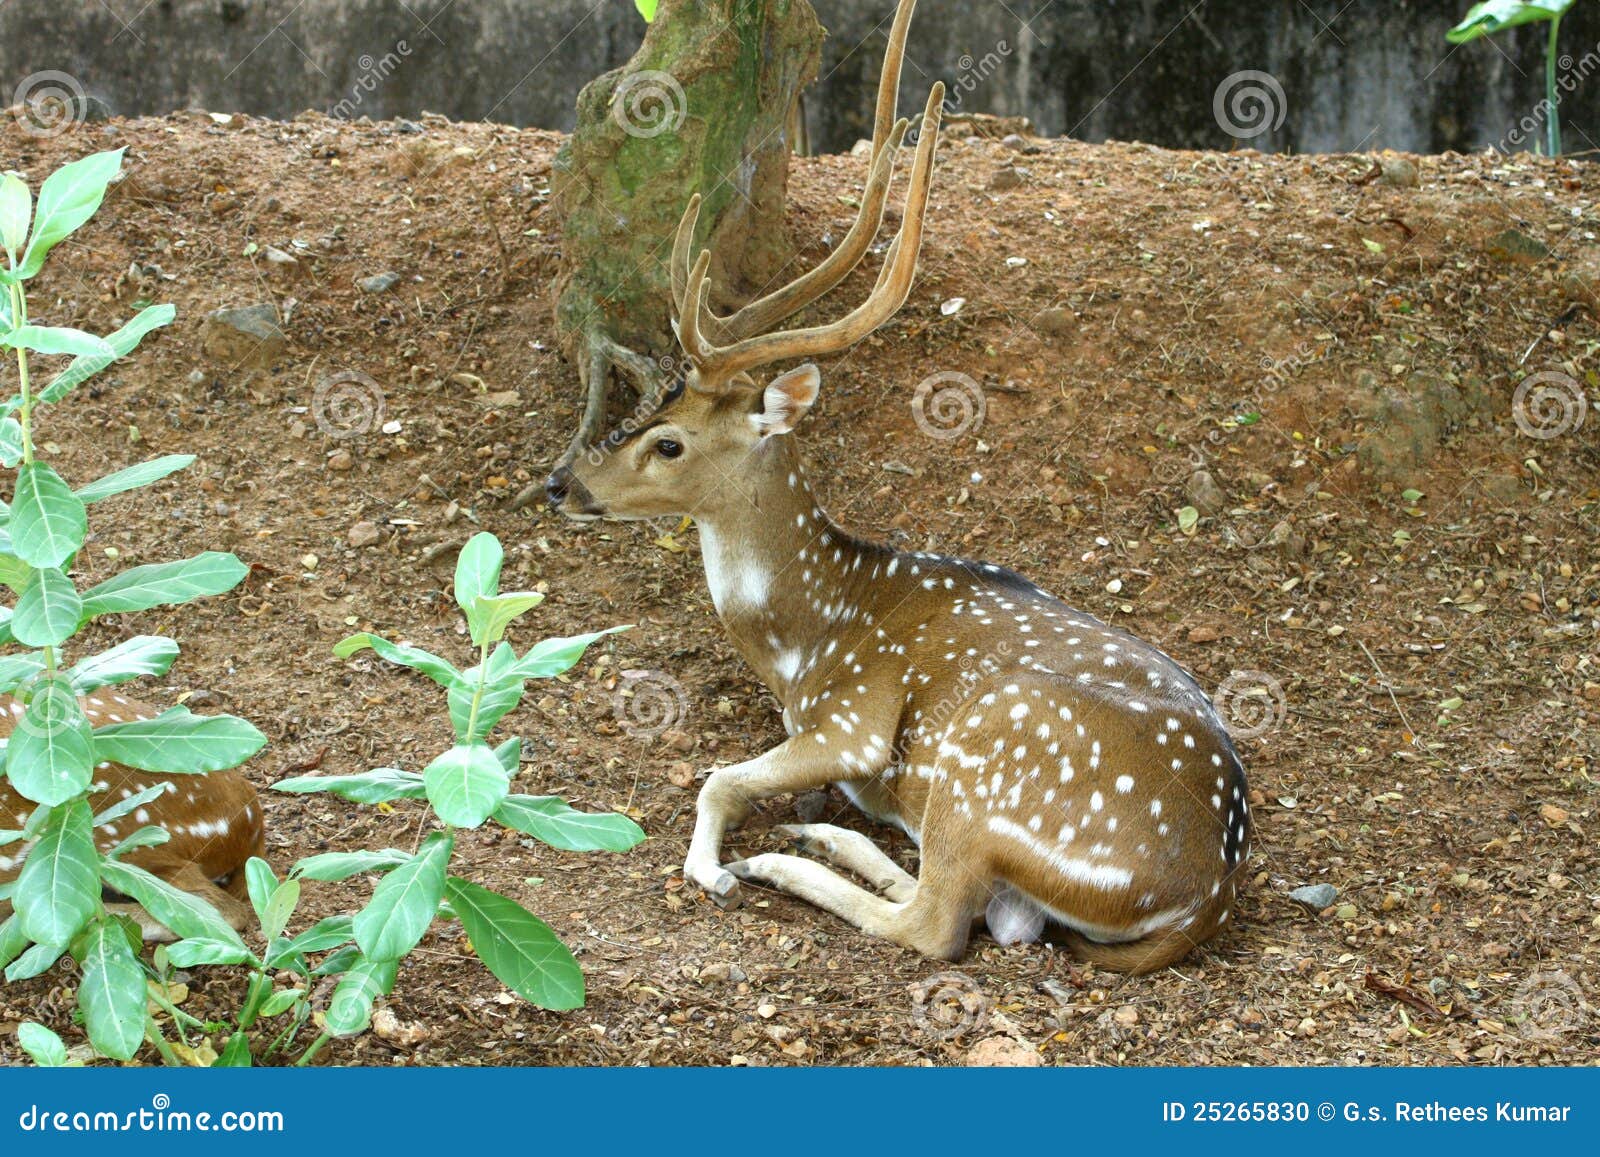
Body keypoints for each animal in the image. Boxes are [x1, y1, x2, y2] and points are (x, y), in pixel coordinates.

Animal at [546, 0, 1250, 973]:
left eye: (668, 442)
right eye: (649, 408)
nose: (560, 482)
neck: (802, 642)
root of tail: (1204, 894)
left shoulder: (854, 718)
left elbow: (719, 779)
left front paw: (712, 867)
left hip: (989, 755)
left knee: (938, 923)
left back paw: (781, 860)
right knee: (984, 912)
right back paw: (828, 839)